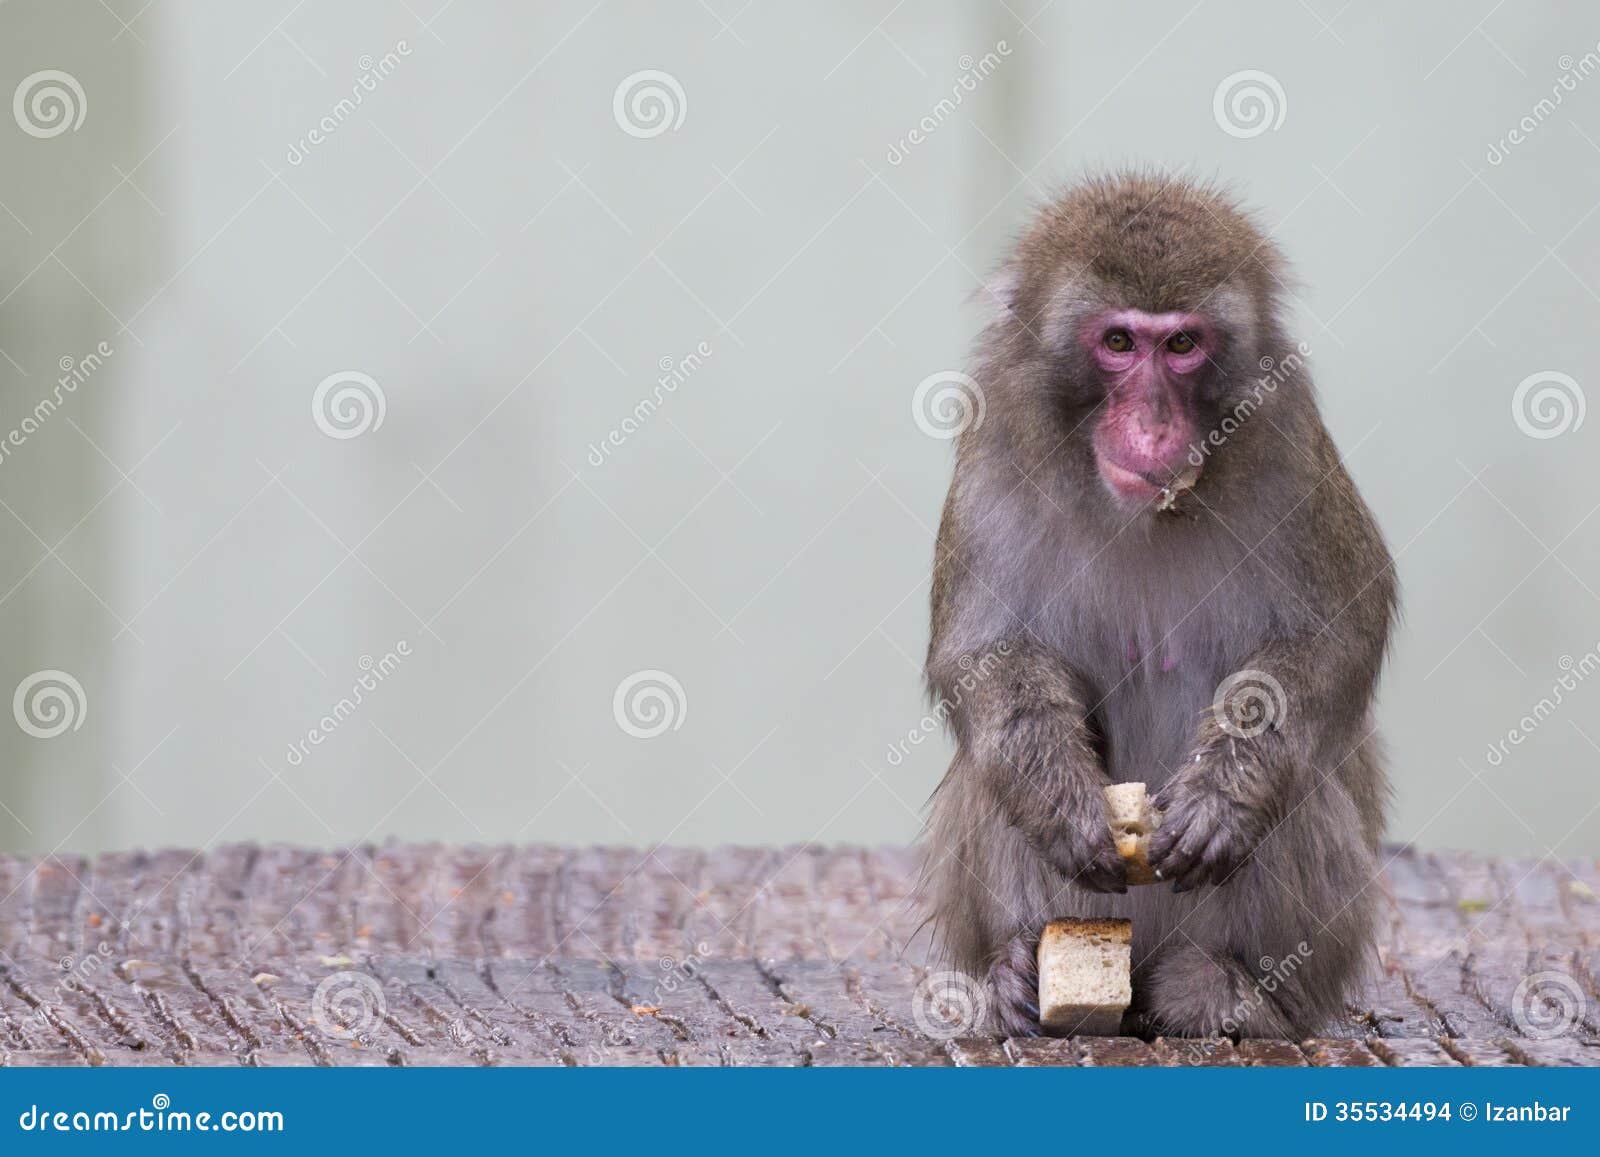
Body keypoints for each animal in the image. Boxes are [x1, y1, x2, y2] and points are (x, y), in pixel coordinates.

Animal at [916, 172, 1396, 1039]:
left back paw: (1233, 989)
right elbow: (983, 656)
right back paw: (1015, 971)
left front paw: (1225, 798)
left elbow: (1336, 634)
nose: (1150, 424)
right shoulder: (994, 449)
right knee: (986, 768)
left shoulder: (1287, 437)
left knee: (1304, 782)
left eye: (1181, 346)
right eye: (1117, 342)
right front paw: (1060, 800)